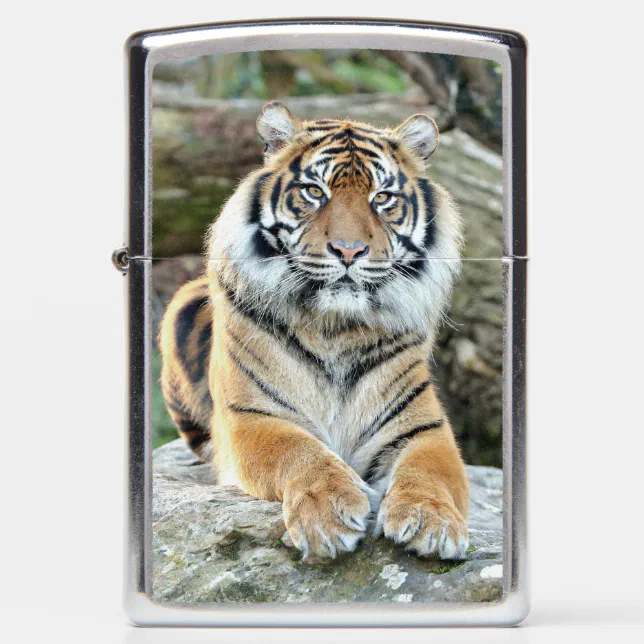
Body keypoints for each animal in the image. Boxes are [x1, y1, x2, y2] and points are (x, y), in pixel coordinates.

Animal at [159, 101, 469, 562]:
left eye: (382, 198)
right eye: (314, 192)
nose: (348, 250)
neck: (335, 327)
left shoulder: (421, 427)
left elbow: (430, 472)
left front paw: (432, 522)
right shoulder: (251, 416)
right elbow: (299, 450)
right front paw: (329, 513)